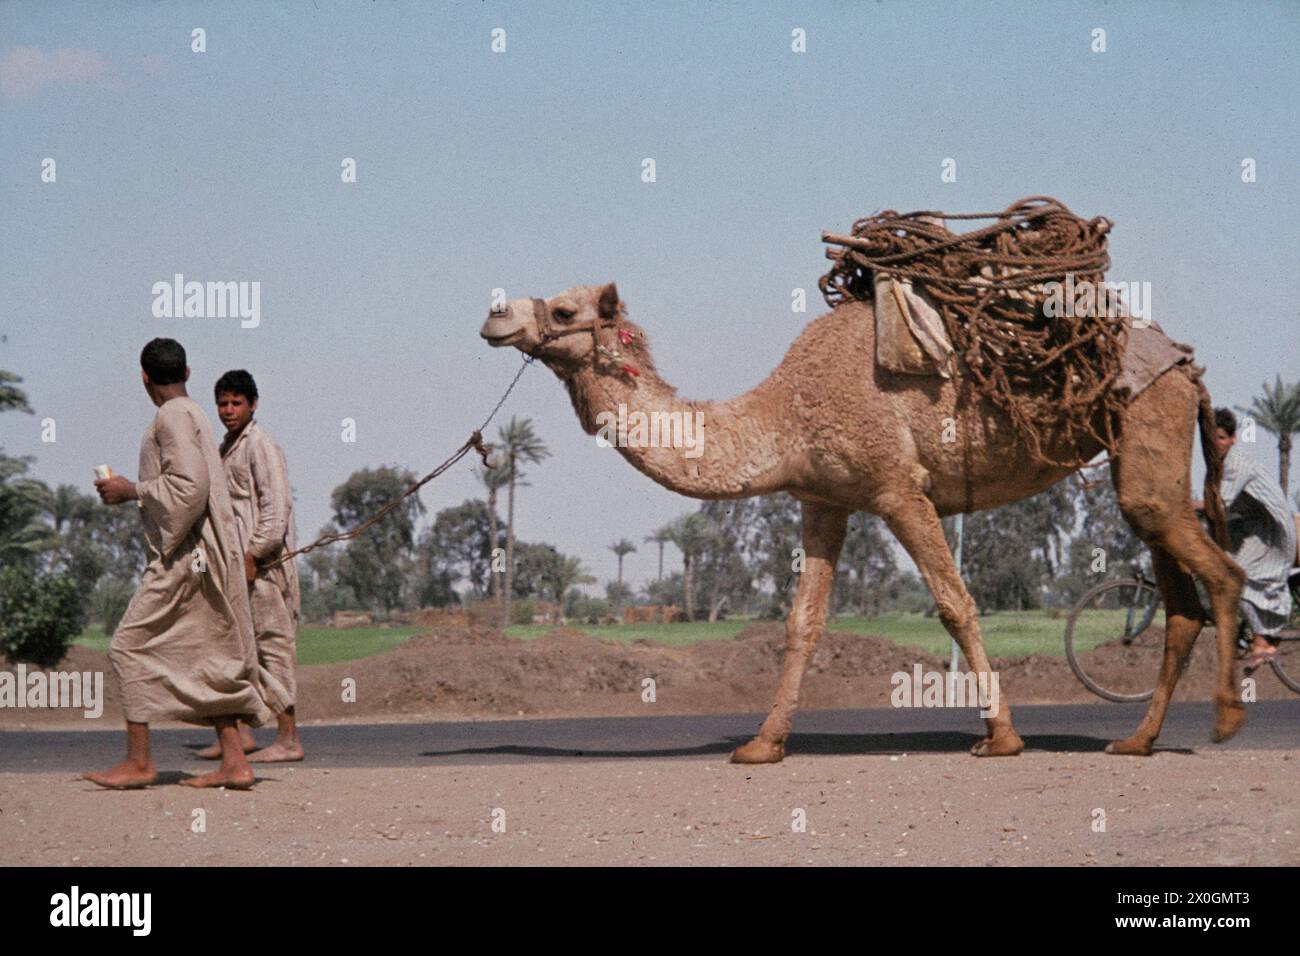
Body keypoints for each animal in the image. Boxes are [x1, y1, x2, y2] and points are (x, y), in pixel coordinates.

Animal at [480, 282, 1246, 762]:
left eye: (563, 307)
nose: (494, 316)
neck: (782, 414)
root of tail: (1186, 363)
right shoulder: (823, 499)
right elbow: (801, 623)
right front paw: (762, 744)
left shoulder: (898, 487)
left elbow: (955, 604)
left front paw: (1001, 737)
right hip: (1142, 463)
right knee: (1180, 598)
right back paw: (1138, 740)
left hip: (1147, 425)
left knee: (1224, 572)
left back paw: (1224, 718)